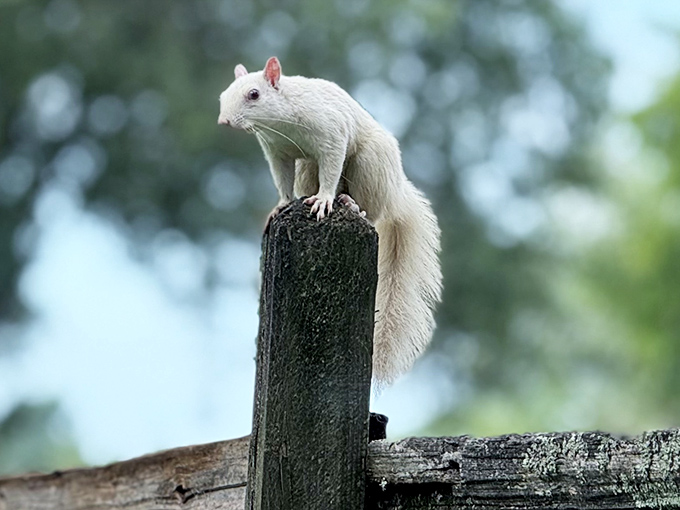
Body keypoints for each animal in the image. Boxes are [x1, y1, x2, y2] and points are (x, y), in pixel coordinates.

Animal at [218, 56, 442, 386]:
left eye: (254, 94)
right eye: (223, 95)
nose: (225, 122)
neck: (281, 123)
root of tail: (396, 192)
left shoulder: (331, 135)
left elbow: (332, 168)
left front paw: (324, 200)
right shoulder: (276, 151)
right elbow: (281, 179)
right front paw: (281, 205)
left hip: (371, 164)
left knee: (371, 210)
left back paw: (350, 204)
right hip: (306, 167)